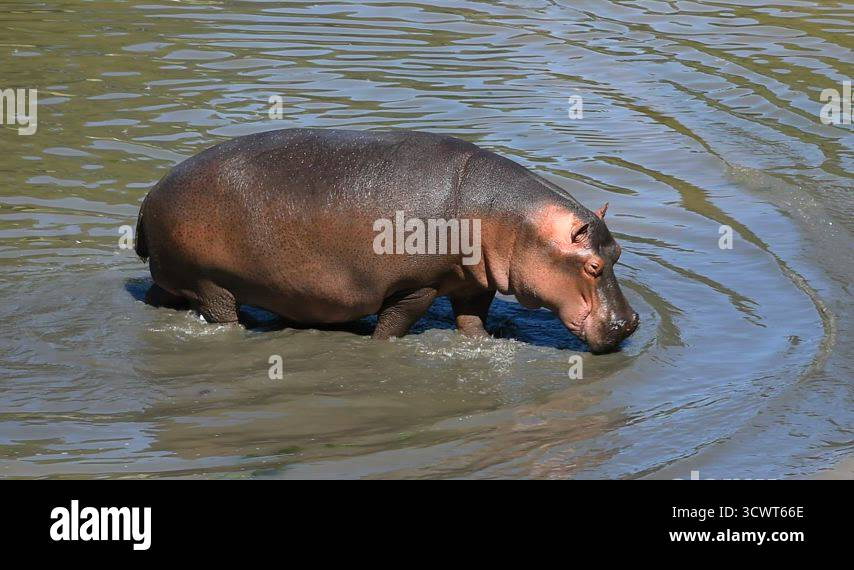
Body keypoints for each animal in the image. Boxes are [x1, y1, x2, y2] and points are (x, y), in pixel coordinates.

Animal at [135, 128, 638, 353]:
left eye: (617, 252)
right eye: (593, 266)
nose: (630, 324)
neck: (510, 221)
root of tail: (149, 196)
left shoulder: (474, 282)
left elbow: (472, 321)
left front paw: (486, 341)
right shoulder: (417, 287)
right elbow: (394, 325)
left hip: (173, 278)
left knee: (158, 295)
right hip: (210, 283)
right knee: (223, 315)